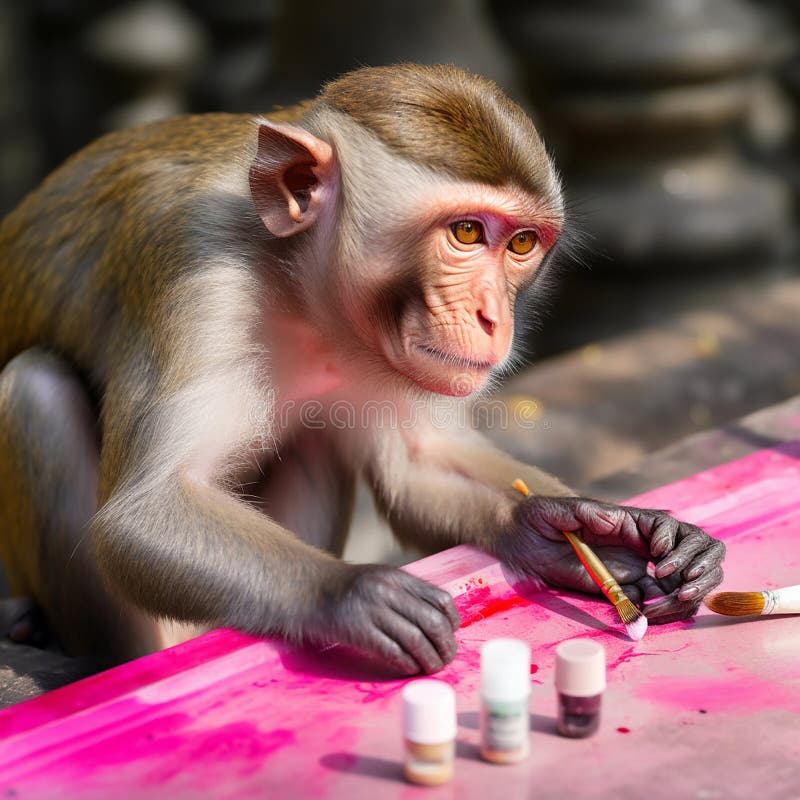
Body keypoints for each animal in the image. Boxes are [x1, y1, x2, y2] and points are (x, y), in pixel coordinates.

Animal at [0, 64, 725, 676]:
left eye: (521, 243)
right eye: (466, 233)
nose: (494, 316)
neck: (293, 279)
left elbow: (414, 461)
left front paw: (575, 529)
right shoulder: (197, 271)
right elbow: (144, 512)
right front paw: (351, 594)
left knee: (317, 437)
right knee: (35, 389)